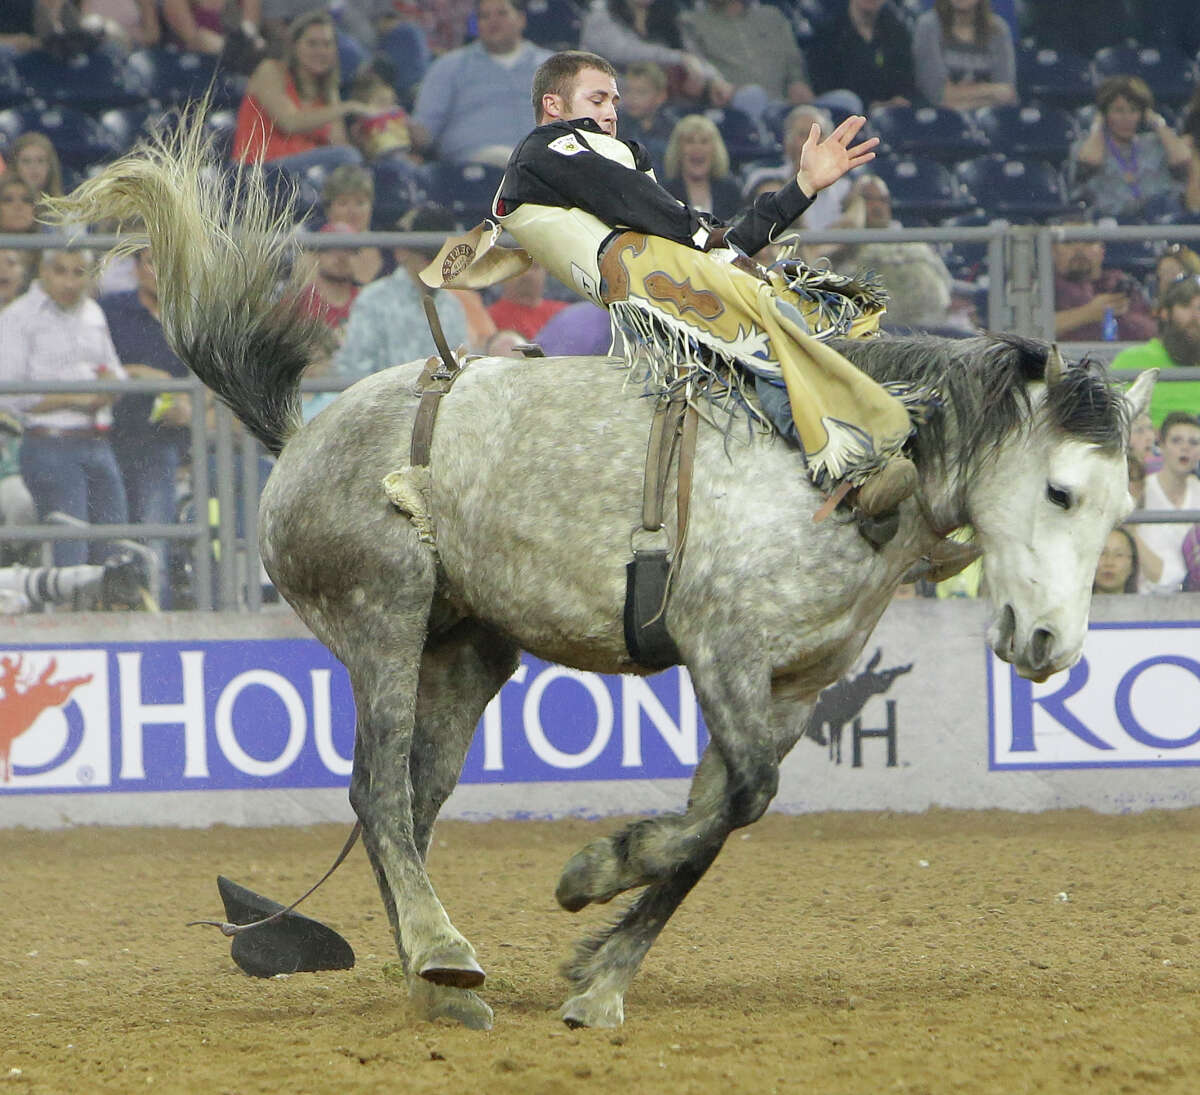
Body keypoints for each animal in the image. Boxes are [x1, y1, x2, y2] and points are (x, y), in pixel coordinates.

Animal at [52, 126, 1154, 1032]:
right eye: (1059, 490)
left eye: (1116, 509)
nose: (1051, 646)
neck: (838, 468)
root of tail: (299, 438)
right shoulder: (721, 648)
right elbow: (741, 797)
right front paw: (593, 872)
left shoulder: (791, 688)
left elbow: (721, 821)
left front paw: (601, 976)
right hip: (381, 619)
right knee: (374, 792)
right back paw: (443, 956)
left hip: (466, 651)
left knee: (407, 802)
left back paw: (432, 971)